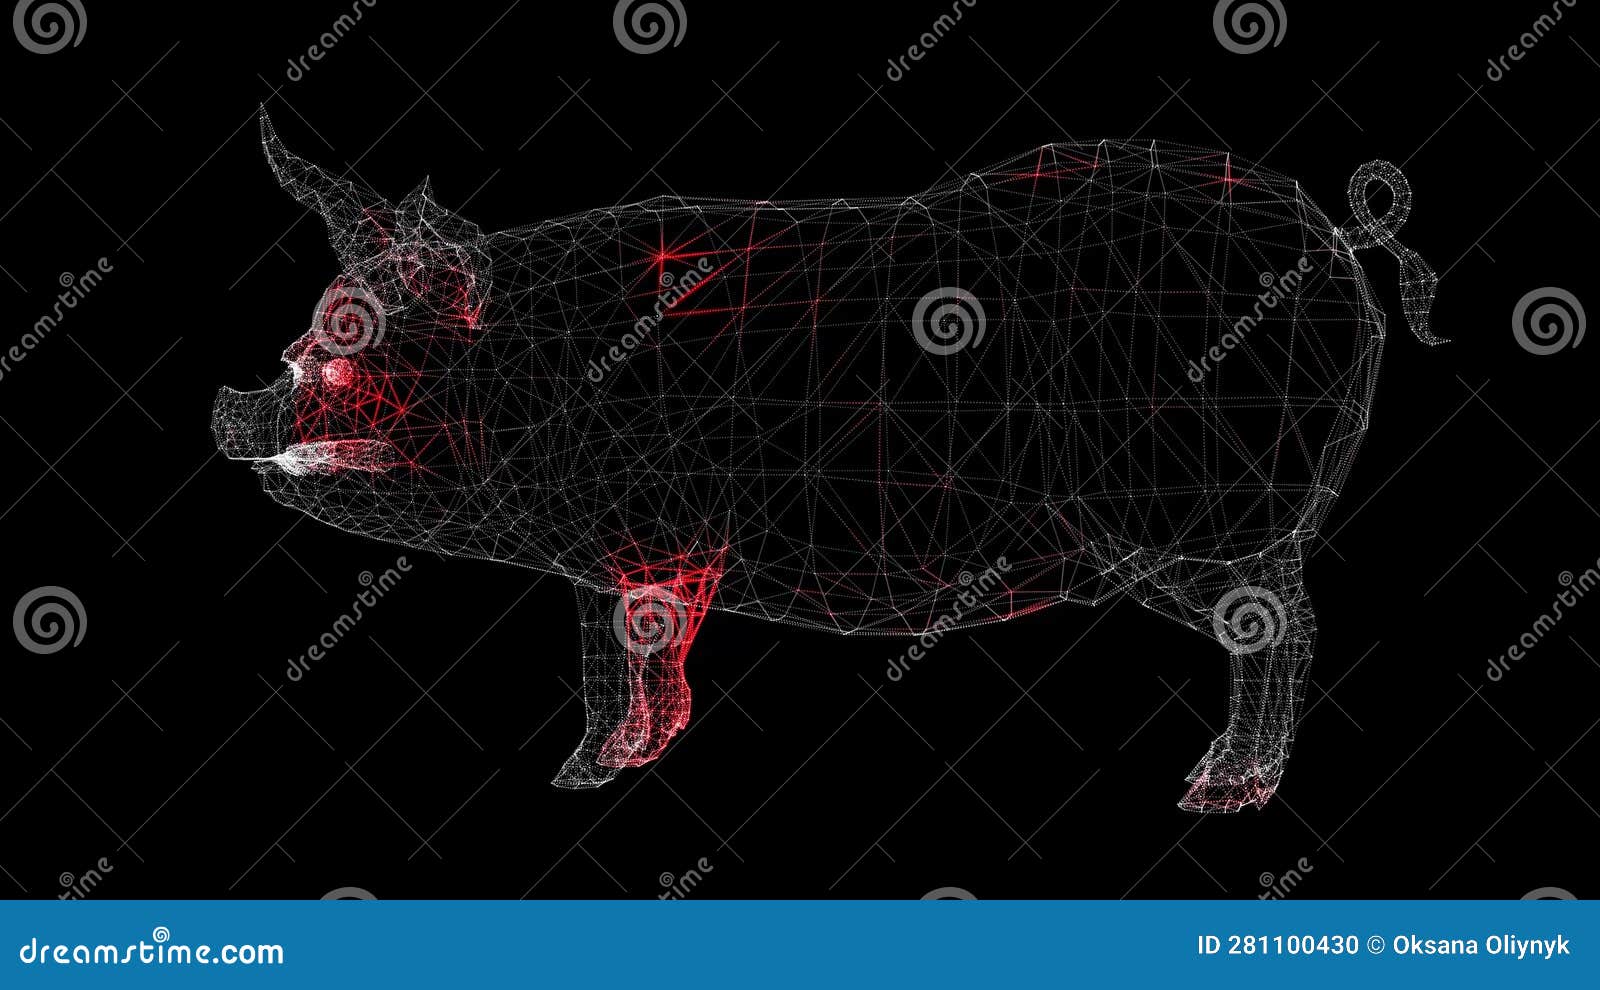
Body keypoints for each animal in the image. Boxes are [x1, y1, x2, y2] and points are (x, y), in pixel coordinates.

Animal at [214, 113, 1440, 812]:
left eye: (343, 343)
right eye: (310, 337)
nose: (231, 406)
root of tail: (1342, 238)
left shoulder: (668, 543)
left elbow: (650, 655)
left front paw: (608, 770)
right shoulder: (596, 559)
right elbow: (604, 659)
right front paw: (581, 775)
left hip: (1202, 520)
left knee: (1284, 625)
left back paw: (1216, 797)